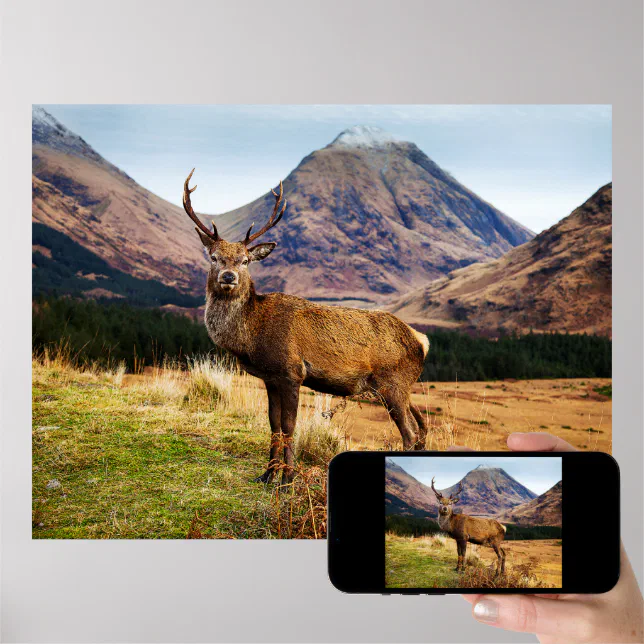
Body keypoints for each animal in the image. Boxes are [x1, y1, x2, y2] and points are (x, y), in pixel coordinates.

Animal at [182, 169, 430, 484]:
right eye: (214, 257)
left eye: (245, 261)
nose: (228, 276)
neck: (252, 336)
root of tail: (421, 340)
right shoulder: (270, 378)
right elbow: (273, 424)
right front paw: (267, 475)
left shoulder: (292, 371)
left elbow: (289, 425)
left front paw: (287, 478)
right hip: (402, 387)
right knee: (421, 426)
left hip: (393, 383)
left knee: (409, 433)